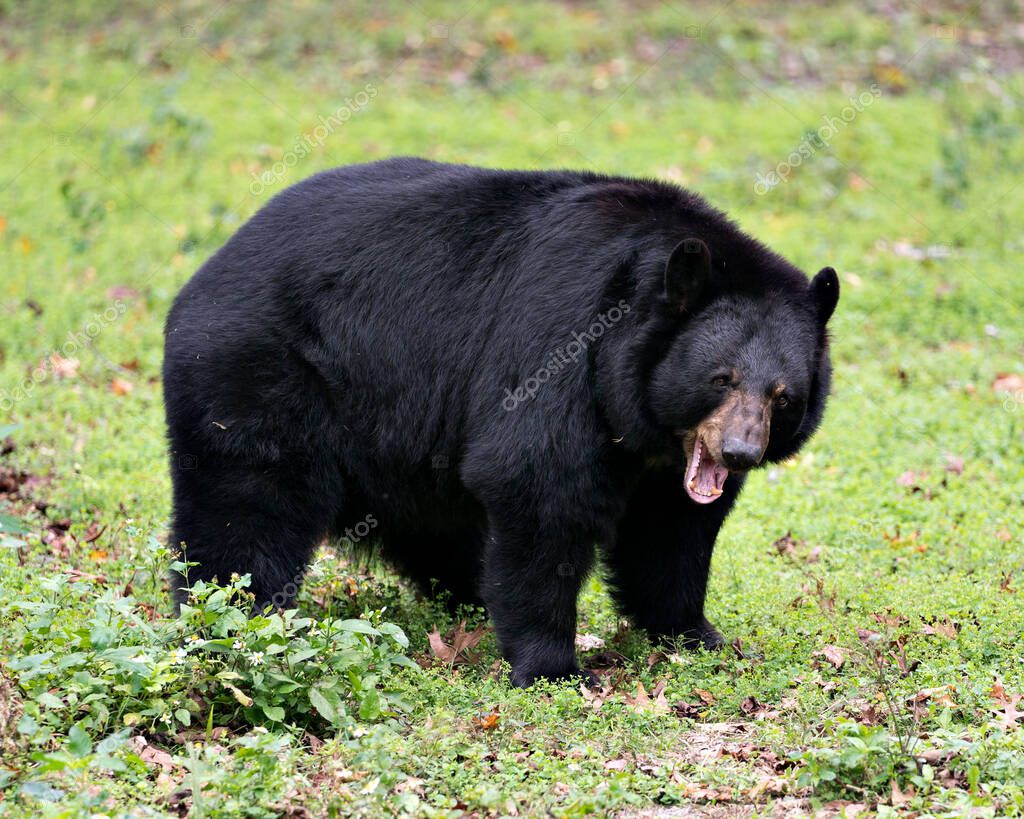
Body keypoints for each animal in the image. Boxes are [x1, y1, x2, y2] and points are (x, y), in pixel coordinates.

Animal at [163, 157, 838, 687]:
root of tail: (209, 267)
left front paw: (696, 635)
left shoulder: (662, 461)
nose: (740, 452)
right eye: (721, 379)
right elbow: (536, 482)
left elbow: (671, 529)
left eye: (783, 397)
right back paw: (234, 618)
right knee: (249, 504)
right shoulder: (563, 343)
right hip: (262, 369)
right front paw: (553, 668)